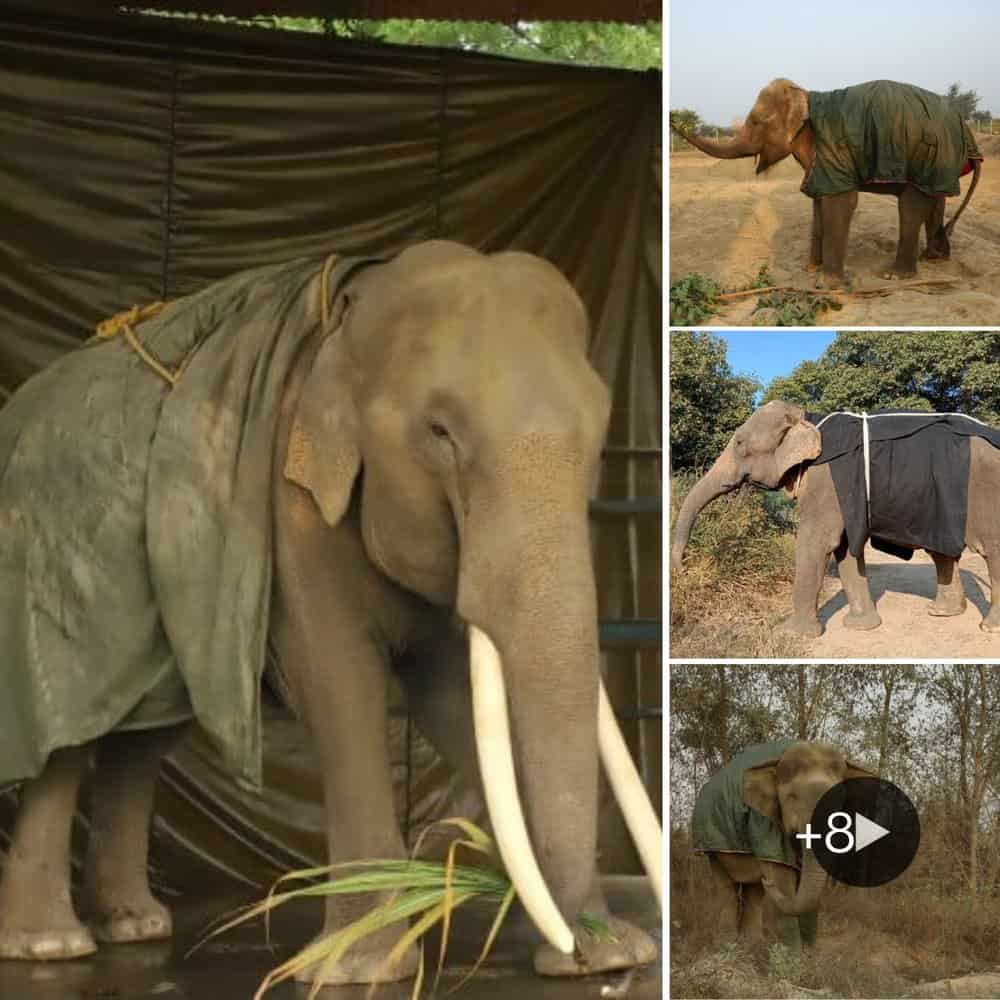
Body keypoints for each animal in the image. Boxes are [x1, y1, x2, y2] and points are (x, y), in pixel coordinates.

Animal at [0, 241, 662, 984]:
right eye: (439, 432)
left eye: (600, 432)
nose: (586, 949)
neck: (351, 319)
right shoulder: (292, 507)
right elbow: (340, 679)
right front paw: (360, 968)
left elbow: (449, 692)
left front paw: (609, 951)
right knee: (67, 738)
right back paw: (50, 946)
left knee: (142, 738)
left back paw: (135, 926)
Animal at [671, 400, 1000, 637]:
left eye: (740, 444)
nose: (683, 569)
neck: (807, 419)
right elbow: (844, 549)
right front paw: (862, 627)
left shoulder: (824, 480)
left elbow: (816, 543)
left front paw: (790, 635)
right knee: (941, 551)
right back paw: (942, 612)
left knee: (992, 551)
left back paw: (988, 627)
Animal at [673, 78, 982, 287]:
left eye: (757, 122)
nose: (675, 121)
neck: (806, 96)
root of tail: (964, 127)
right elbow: (820, 200)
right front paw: (811, 270)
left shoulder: (836, 151)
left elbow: (841, 202)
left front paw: (828, 284)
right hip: (937, 163)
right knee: (935, 200)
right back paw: (933, 258)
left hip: (926, 153)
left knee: (911, 205)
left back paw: (896, 275)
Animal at [692, 740, 876, 947]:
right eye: (792, 797)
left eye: (841, 800)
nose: (768, 882)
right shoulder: (763, 820)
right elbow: (781, 876)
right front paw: (794, 955)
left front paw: (809, 953)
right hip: (712, 843)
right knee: (726, 888)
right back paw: (728, 944)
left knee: (754, 890)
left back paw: (753, 944)